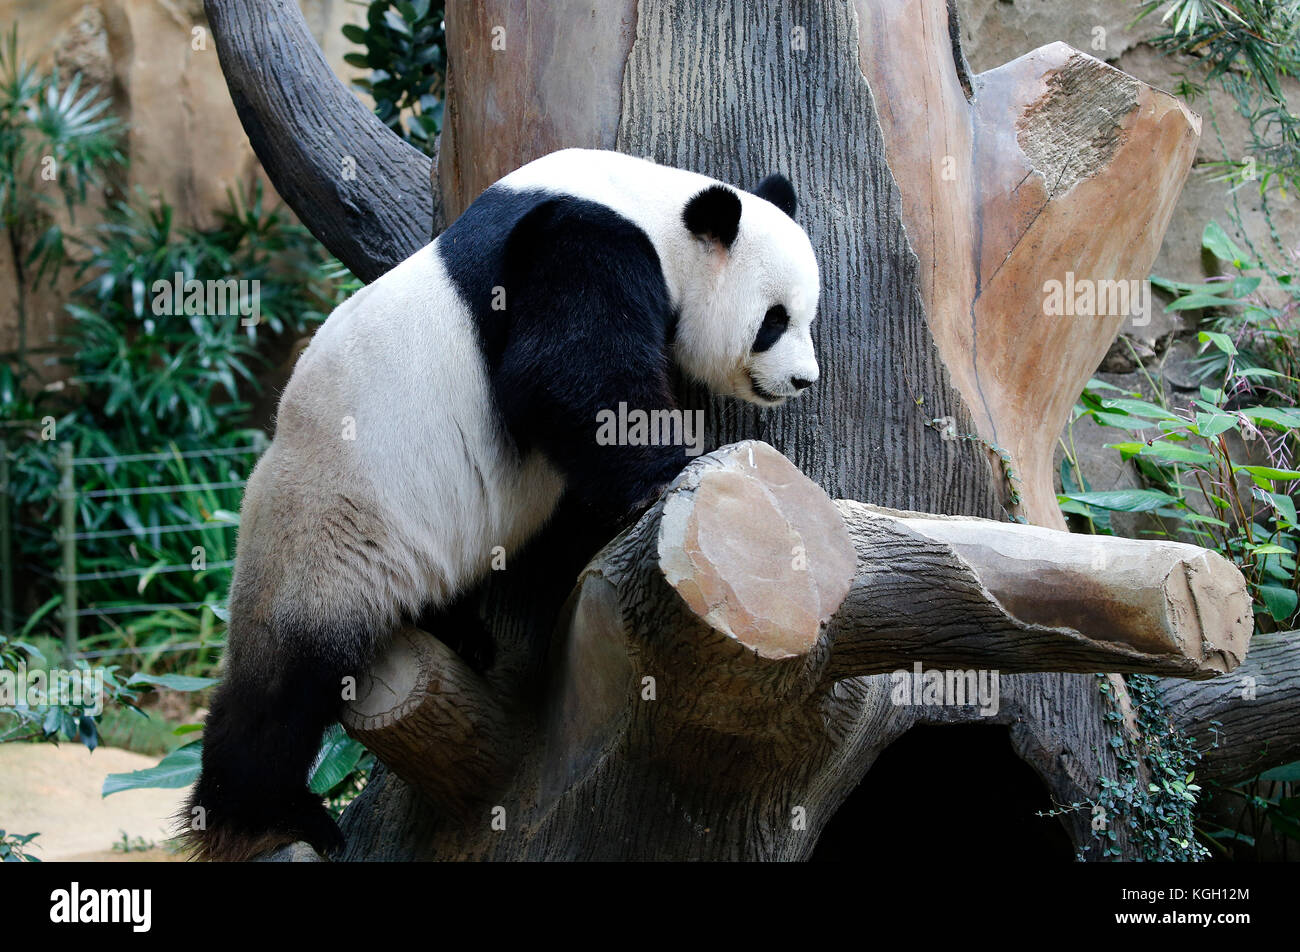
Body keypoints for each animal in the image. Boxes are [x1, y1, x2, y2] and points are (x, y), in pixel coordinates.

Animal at [181, 148, 821, 861]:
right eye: (774, 320)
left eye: (806, 316)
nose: (803, 381)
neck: (653, 208)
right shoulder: (576, 246)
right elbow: (565, 373)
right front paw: (665, 473)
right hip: (326, 533)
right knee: (282, 688)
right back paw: (266, 814)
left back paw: (462, 636)